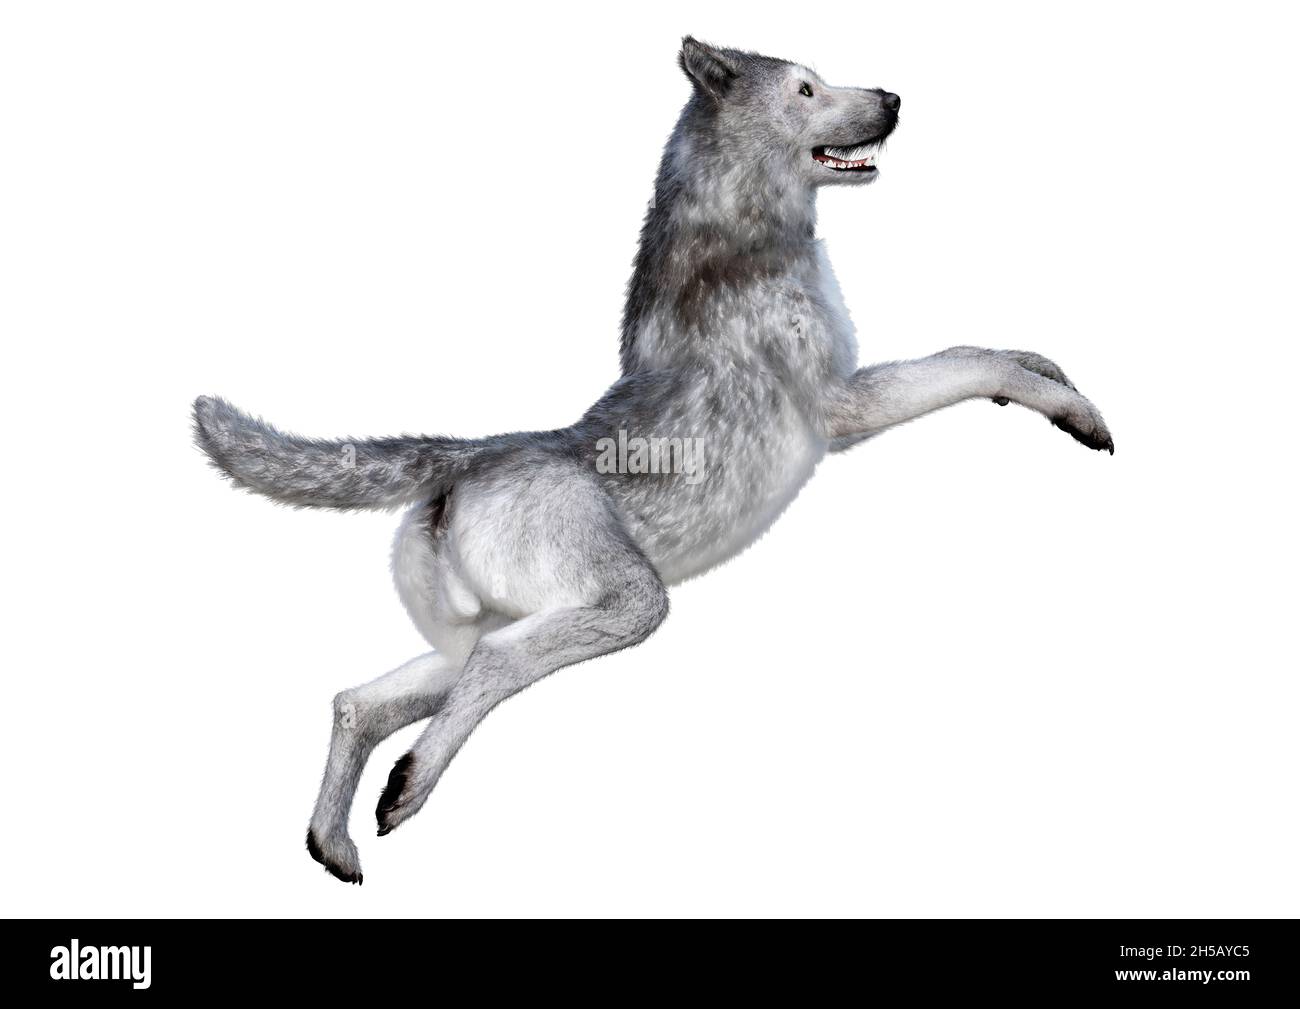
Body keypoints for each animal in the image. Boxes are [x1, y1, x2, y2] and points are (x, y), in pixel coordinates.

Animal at [194, 38, 1113, 884]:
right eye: (807, 88)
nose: (892, 97)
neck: (750, 227)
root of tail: (464, 460)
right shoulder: (844, 407)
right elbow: (976, 363)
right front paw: (1076, 411)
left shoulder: (860, 388)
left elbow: (983, 348)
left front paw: (1058, 376)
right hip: (628, 603)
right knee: (492, 668)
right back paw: (409, 784)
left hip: (466, 638)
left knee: (357, 701)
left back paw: (332, 840)